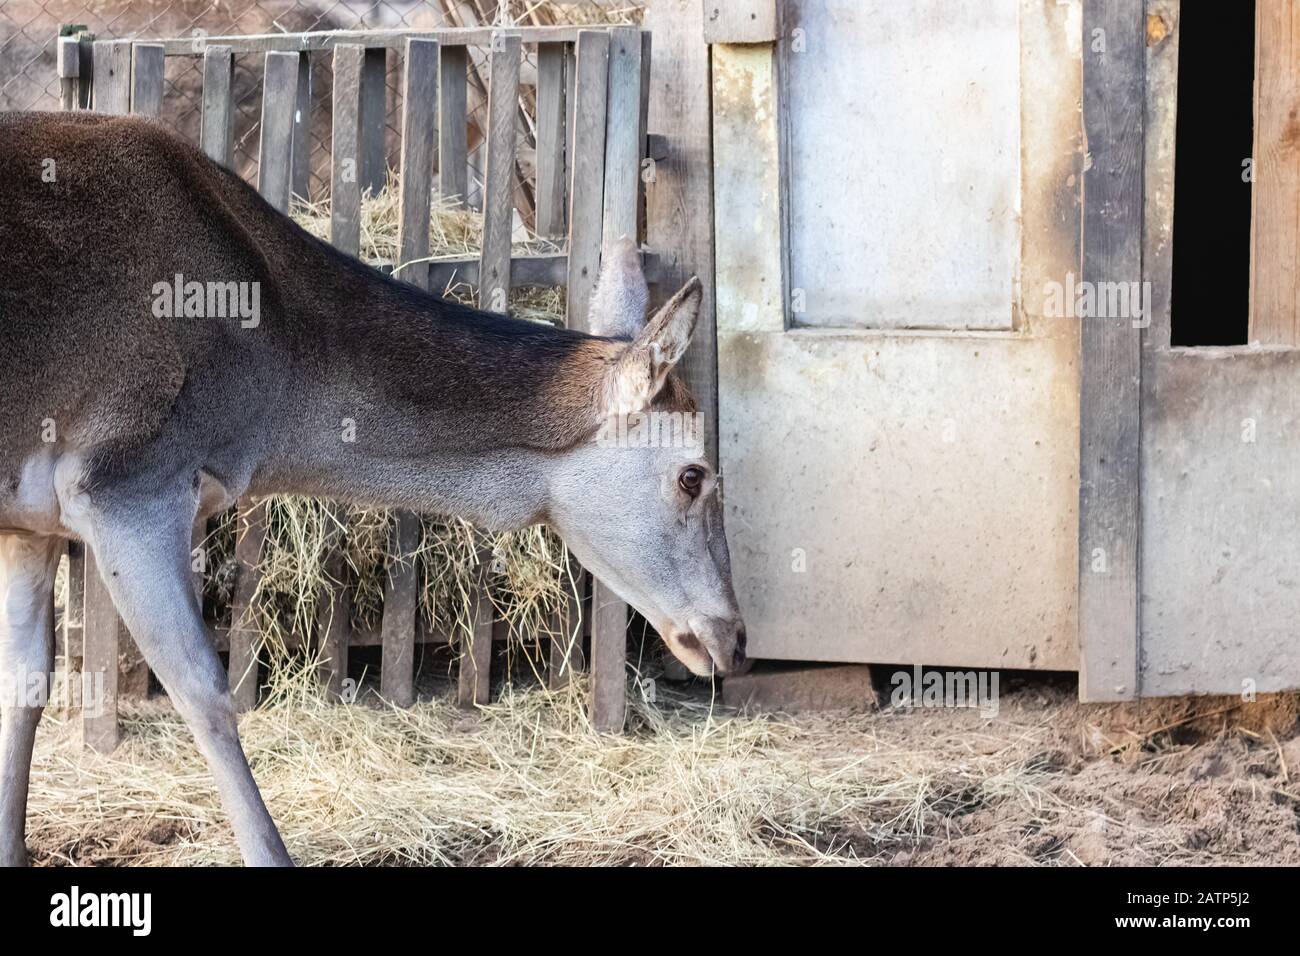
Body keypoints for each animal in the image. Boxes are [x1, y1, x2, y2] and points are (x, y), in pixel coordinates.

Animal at [0, 111, 747, 867]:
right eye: (693, 474)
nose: (733, 639)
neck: (269, 385)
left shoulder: (29, 522)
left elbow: (25, 682)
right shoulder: (125, 481)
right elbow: (204, 690)